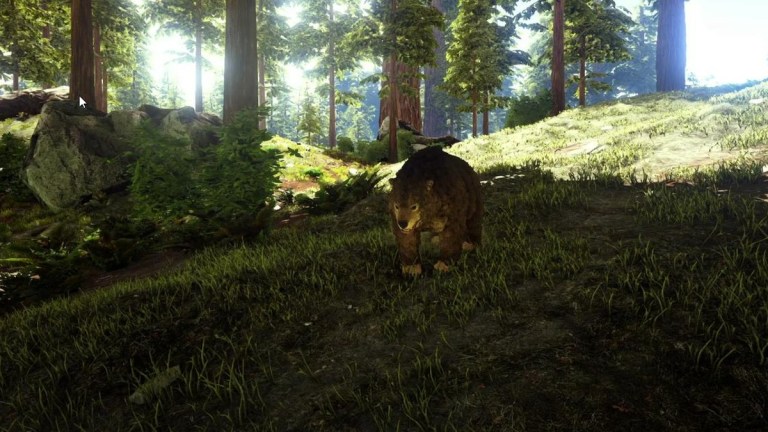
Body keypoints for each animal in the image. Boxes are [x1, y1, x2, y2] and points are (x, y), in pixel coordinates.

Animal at [388, 146, 483, 275]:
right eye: (396, 206)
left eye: (414, 206)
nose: (403, 223)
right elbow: (407, 243)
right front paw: (411, 268)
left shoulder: (453, 218)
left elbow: (450, 240)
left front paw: (444, 265)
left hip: (474, 206)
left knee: (474, 224)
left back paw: (470, 244)